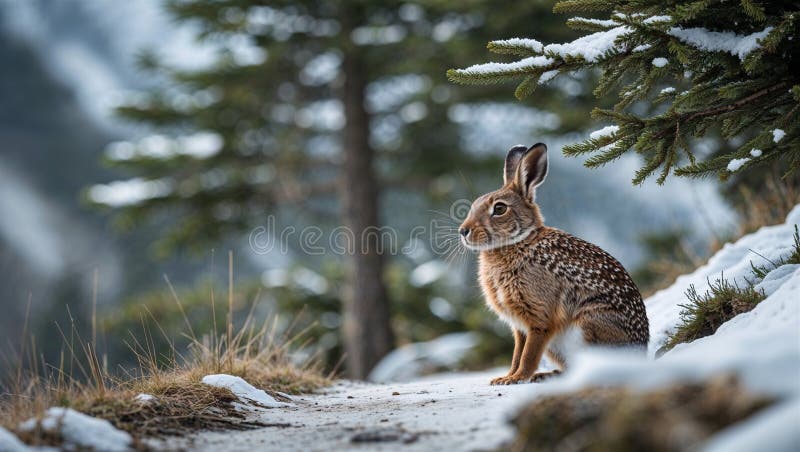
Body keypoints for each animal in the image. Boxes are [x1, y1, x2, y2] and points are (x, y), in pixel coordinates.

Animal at [458, 143, 649, 385]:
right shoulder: (519, 327)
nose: (463, 231)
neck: (519, 241)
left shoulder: (539, 319)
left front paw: (517, 378)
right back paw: (546, 375)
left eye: (500, 209)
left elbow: (529, 354)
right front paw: (506, 377)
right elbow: (517, 352)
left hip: (589, 324)